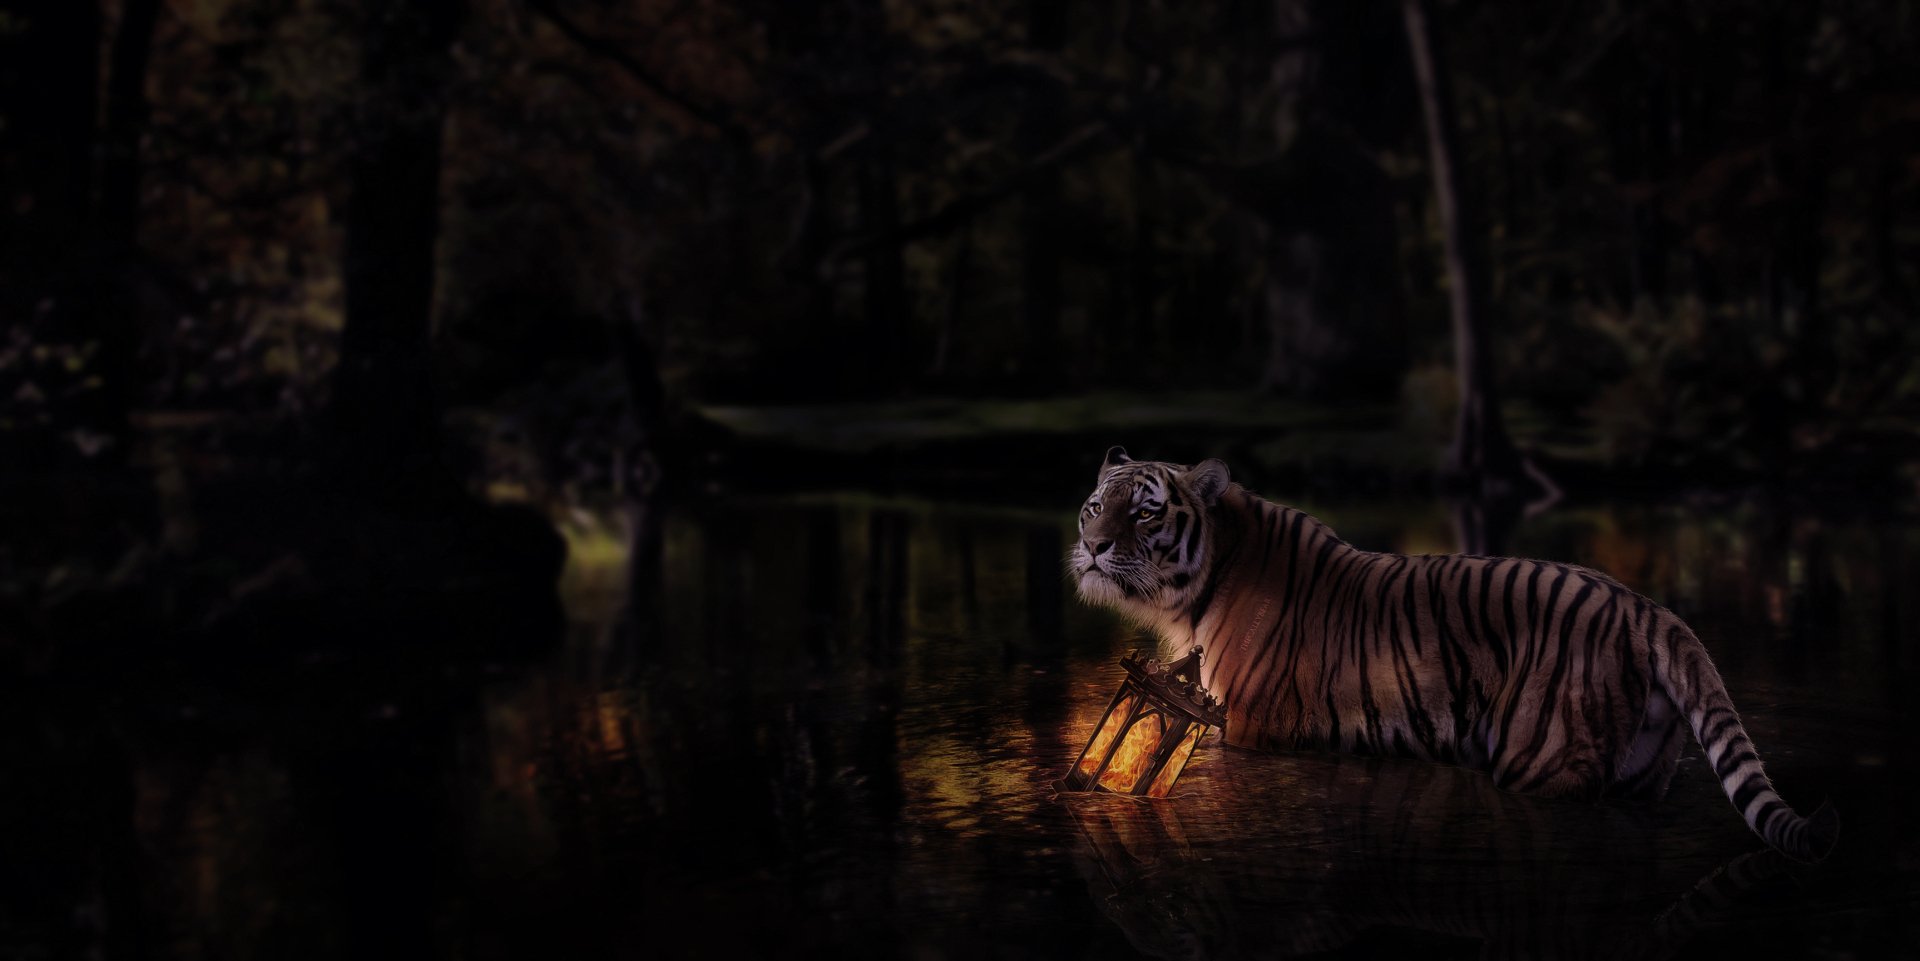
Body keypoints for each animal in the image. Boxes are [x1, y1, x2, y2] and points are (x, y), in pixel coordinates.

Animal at [1067, 446, 1839, 862]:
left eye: (1144, 511)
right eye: (1094, 505)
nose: (1094, 547)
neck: (1202, 582)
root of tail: (1645, 604)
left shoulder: (1250, 728)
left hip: (1545, 761)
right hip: (1642, 773)